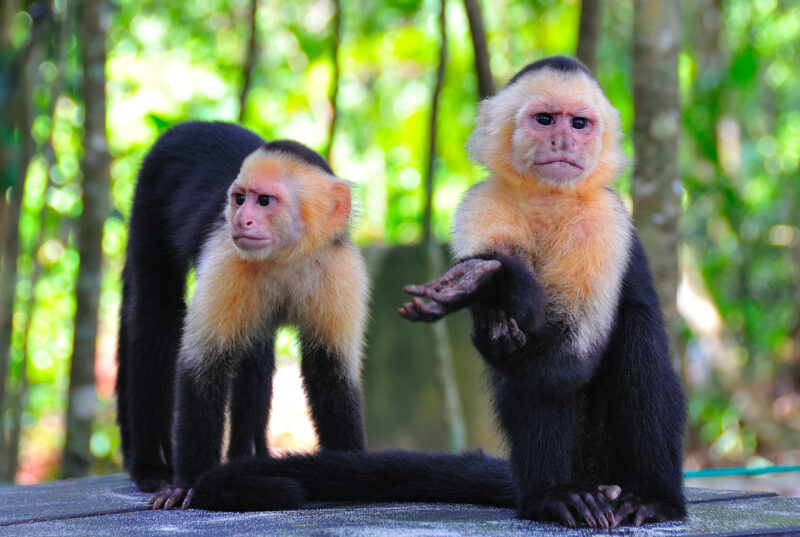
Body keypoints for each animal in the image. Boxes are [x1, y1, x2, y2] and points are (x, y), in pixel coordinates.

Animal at [115, 121, 368, 509]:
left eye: (264, 201)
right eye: (239, 198)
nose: (241, 220)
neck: (286, 256)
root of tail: (191, 125)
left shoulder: (339, 270)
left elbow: (329, 370)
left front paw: (349, 470)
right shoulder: (226, 259)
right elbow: (203, 366)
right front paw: (188, 484)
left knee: (256, 349)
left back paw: (247, 455)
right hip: (148, 190)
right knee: (155, 314)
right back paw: (151, 466)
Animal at [159, 57, 686, 529]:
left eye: (579, 123)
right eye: (544, 120)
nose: (563, 140)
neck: (548, 199)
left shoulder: (603, 221)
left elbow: (571, 358)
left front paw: (485, 288)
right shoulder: (484, 205)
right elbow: (542, 352)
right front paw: (487, 284)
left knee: (633, 342)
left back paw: (652, 498)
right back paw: (552, 497)